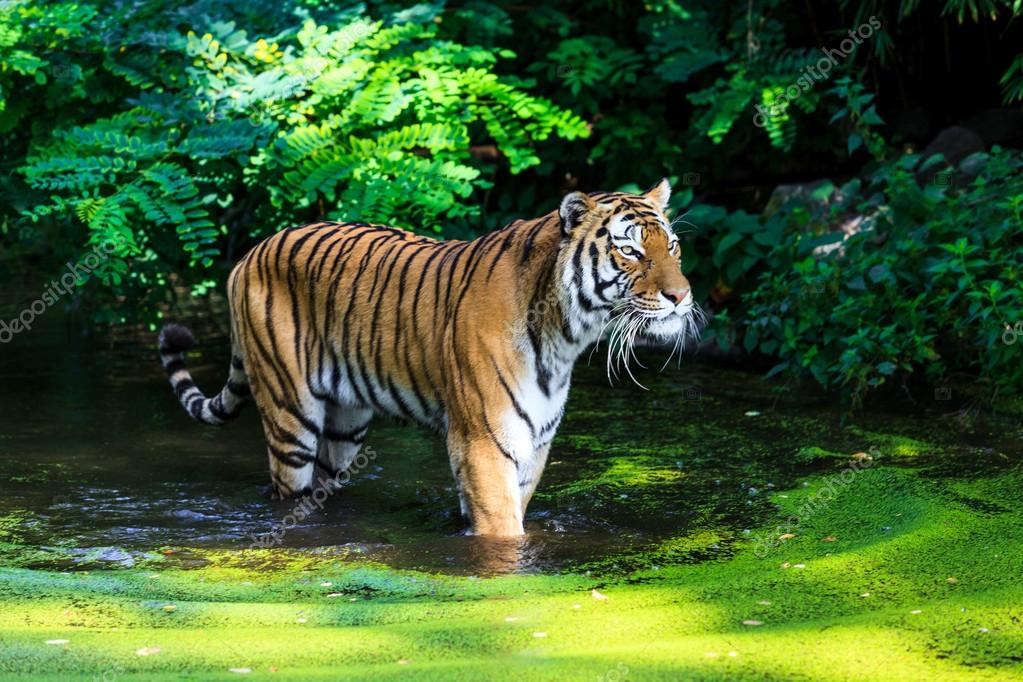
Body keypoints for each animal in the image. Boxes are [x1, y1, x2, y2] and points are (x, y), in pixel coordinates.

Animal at [158, 179, 702, 536]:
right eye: (630, 252)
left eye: (674, 246)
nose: (681, 296)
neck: (566, 334)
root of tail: (249, 253)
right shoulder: (483, 441)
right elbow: (504, 529)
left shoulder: (533, 443)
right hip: (291, 418)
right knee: (284, 488)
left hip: (345, 425)